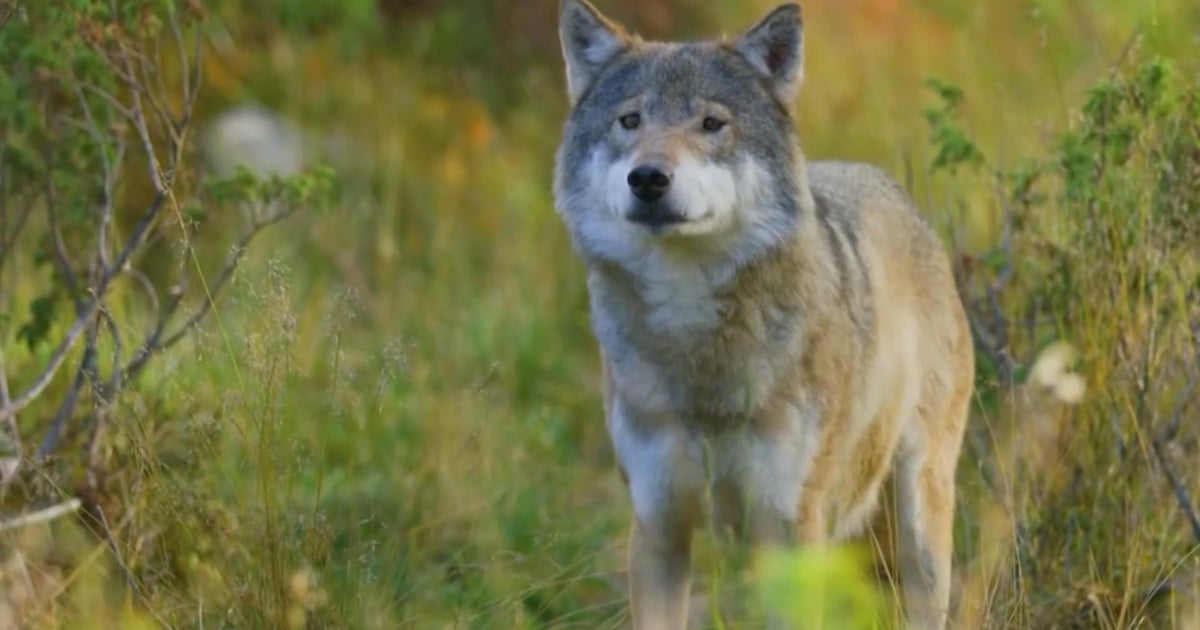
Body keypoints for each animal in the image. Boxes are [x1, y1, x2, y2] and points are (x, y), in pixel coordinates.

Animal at [552, 1, 975, 628]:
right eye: (630, 121)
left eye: (711, 124)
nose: (648, 177)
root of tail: (888, 186)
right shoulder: (657, 530)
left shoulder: (792, 533)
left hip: (917, 521)